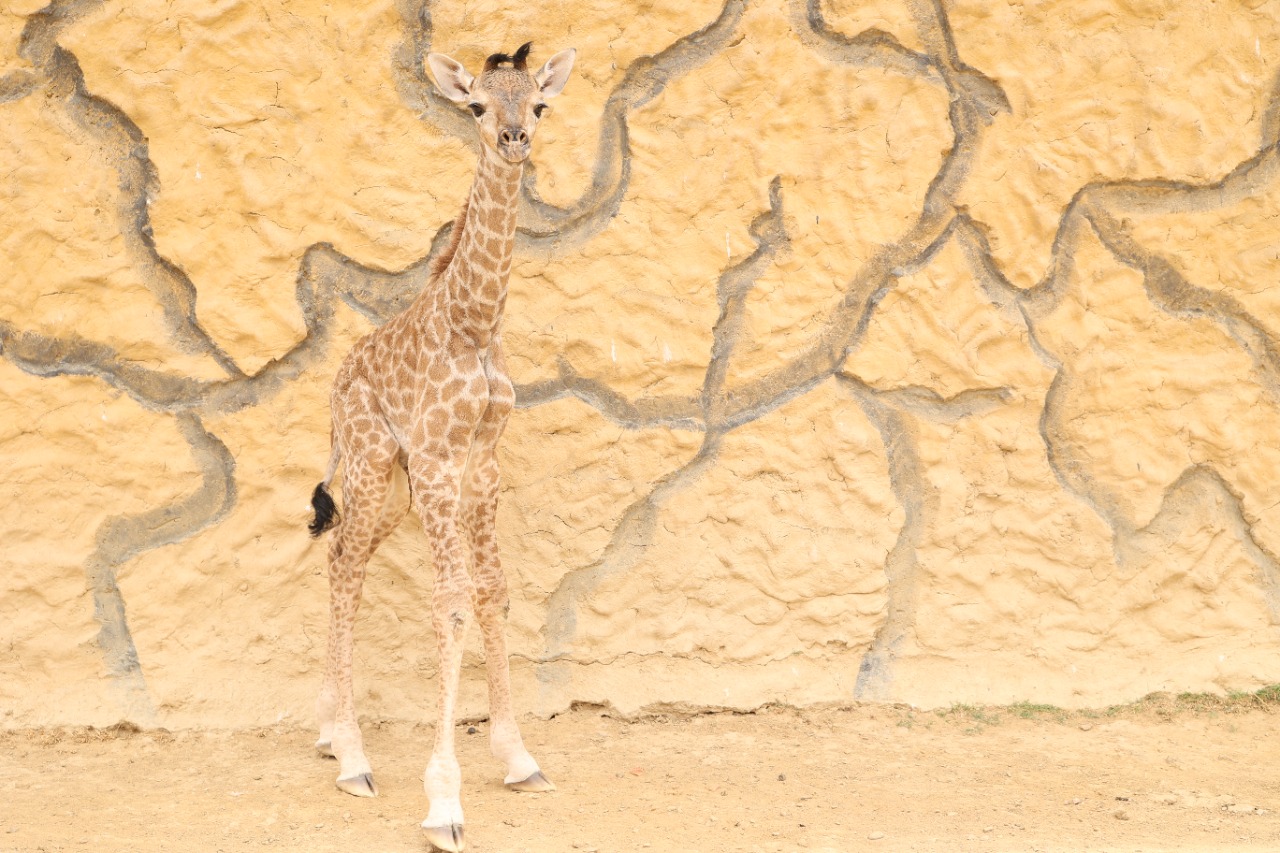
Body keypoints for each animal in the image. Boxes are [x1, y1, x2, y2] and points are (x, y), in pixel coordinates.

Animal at [306, 41, 576, 852]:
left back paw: (330, 730)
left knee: (344, 557)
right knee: (343, 561)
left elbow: (493, 592)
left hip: (392, 486)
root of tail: (337, 385)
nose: (515, 140)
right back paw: (353, 756)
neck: (475, 326)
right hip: (371, 461)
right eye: (478, 106)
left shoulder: (481, 465)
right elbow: (451, 604)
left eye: (538, 104)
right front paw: (444, 803)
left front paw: (518, 758)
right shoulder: (436, 461)